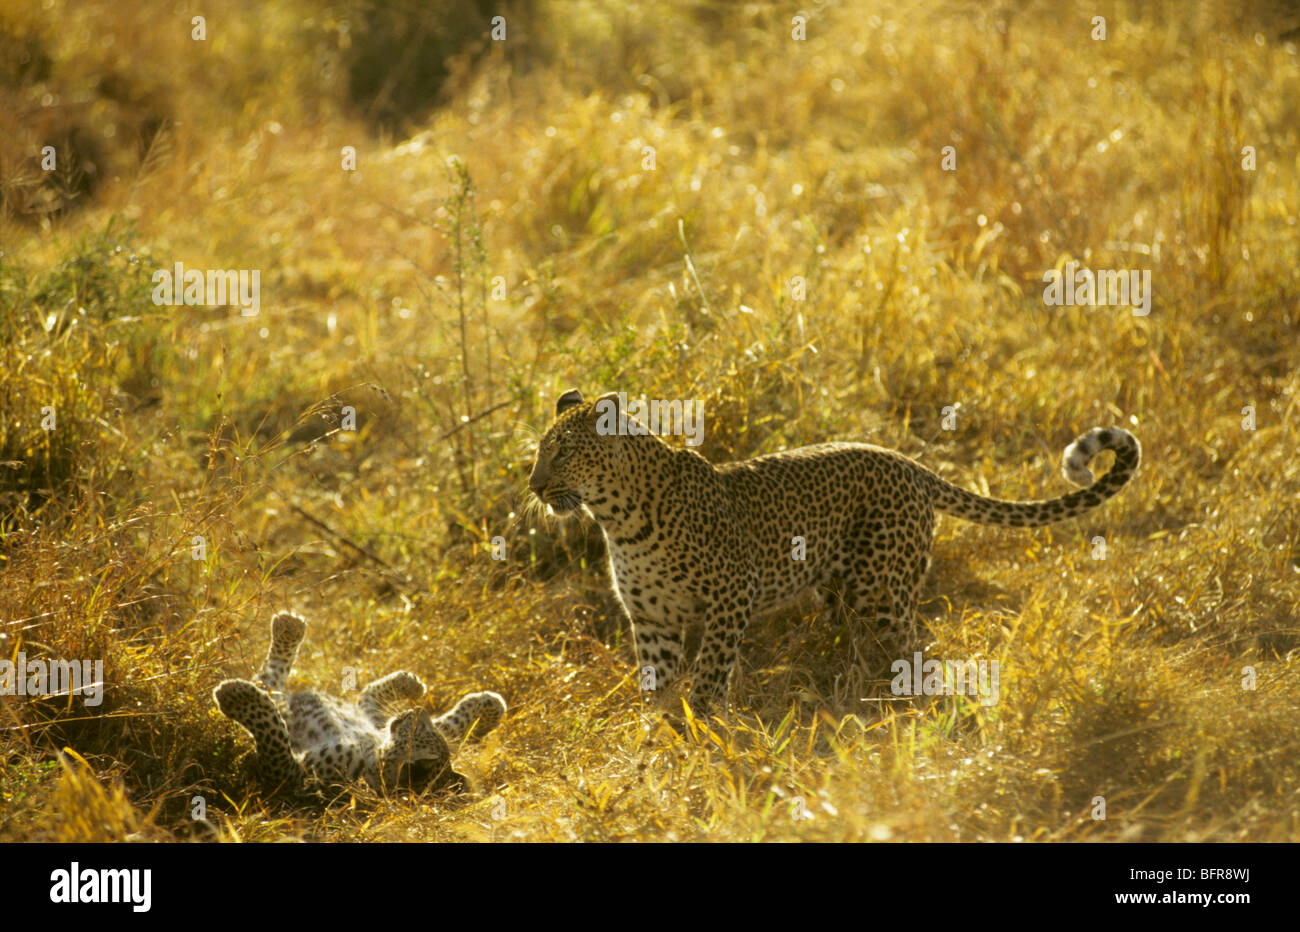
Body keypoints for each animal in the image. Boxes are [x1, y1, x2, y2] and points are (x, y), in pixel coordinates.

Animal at [213, 611, 506, 796]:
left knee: (268, 680)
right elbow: (449, 724)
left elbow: (273, 732)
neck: (373, 750)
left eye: (419, 731)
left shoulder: (292, 773)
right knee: (273, 679)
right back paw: (290, 627)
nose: (418, 710)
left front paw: (238, 699)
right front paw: (412, 683)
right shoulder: (373, 715)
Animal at [528, 388, 1140, 714]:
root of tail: (909, 463)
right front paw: (656, 734)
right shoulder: (652, 620)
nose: (533, 486)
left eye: (562, 452)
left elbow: (709, 675)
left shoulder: (731, 597)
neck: (619, 519)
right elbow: (654, 686)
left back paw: (903, 704)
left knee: (915, 648)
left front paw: (699, 726)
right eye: (539, 451)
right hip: (843, 593)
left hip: (883, 590)